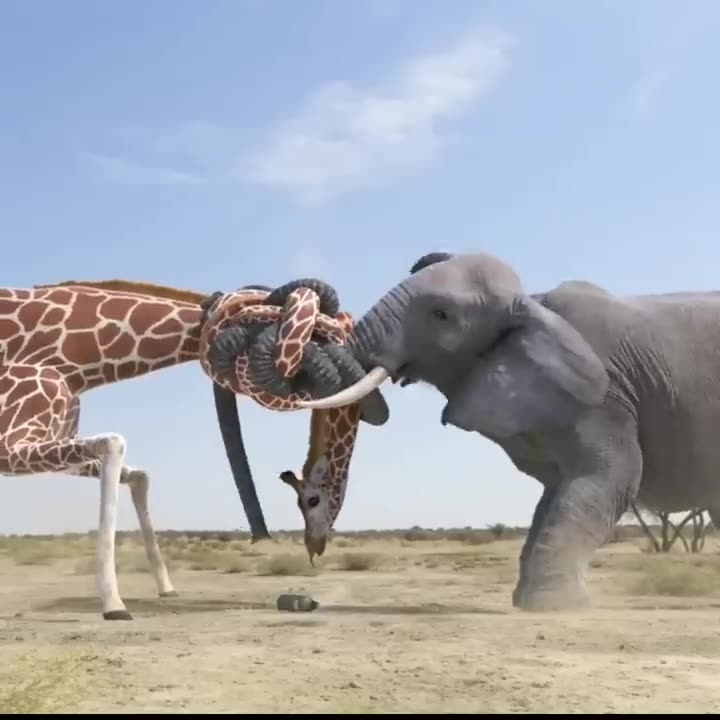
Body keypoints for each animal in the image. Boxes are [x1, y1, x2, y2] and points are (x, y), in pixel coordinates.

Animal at [0, 278, 385, 620]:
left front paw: (165, 588)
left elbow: (137, 474)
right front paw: (114, 604)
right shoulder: (10, 443)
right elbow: (114, 443)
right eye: (320, 341)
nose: (316, 542)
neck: (74, 359)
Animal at [296, 250, 720, 612]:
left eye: (442, 315)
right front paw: (531, 600)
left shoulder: (606, 396)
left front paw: (552, 606)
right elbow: (554, 493)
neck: (531, 303)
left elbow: (609, 476)